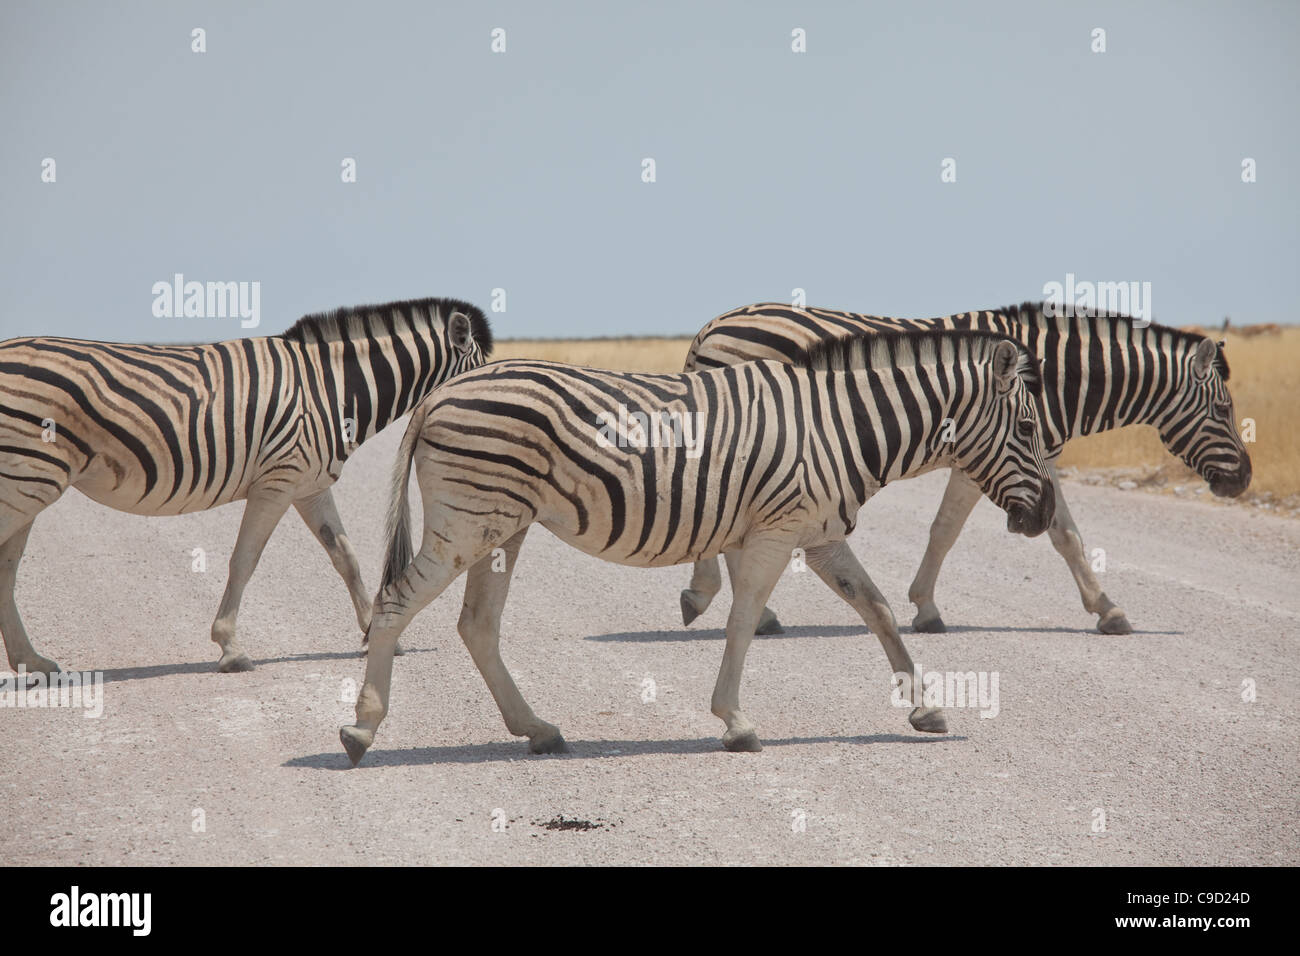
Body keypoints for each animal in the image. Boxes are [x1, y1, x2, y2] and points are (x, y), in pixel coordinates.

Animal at [0, 296, 492, 674]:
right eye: (483, 374)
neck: (332, 389)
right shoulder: (278, 481)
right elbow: (245, 561)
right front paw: (230, 649)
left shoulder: (310, 485)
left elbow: (346, 558)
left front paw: (377, 635)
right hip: (28, 477)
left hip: (30, 482)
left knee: (7, 566)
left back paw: (31, 662)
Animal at [338, 329, 1055, 765]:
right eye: (1027, 429)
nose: (1046, 515)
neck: (838, 427)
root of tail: (438, 395)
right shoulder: (775, 532)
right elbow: (743, 620)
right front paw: (735, 722)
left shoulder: (820, 535)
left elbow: (876, 610)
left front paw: (925, 708)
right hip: (470, 522)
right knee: (396, 603)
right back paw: (361, 728)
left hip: (501, 527)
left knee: (477, 625)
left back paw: (538, 731)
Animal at [678, 301, 1252, 636]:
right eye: (1224, 410)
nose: (1244, 480)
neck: (1056, 374)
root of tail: (712, 324)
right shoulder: (1003, 452)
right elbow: (960, 530)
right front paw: (928, 609)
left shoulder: (1020, 456)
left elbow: (1057, 533)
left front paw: (1106, 608)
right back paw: (751, 612)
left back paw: (716, 599)